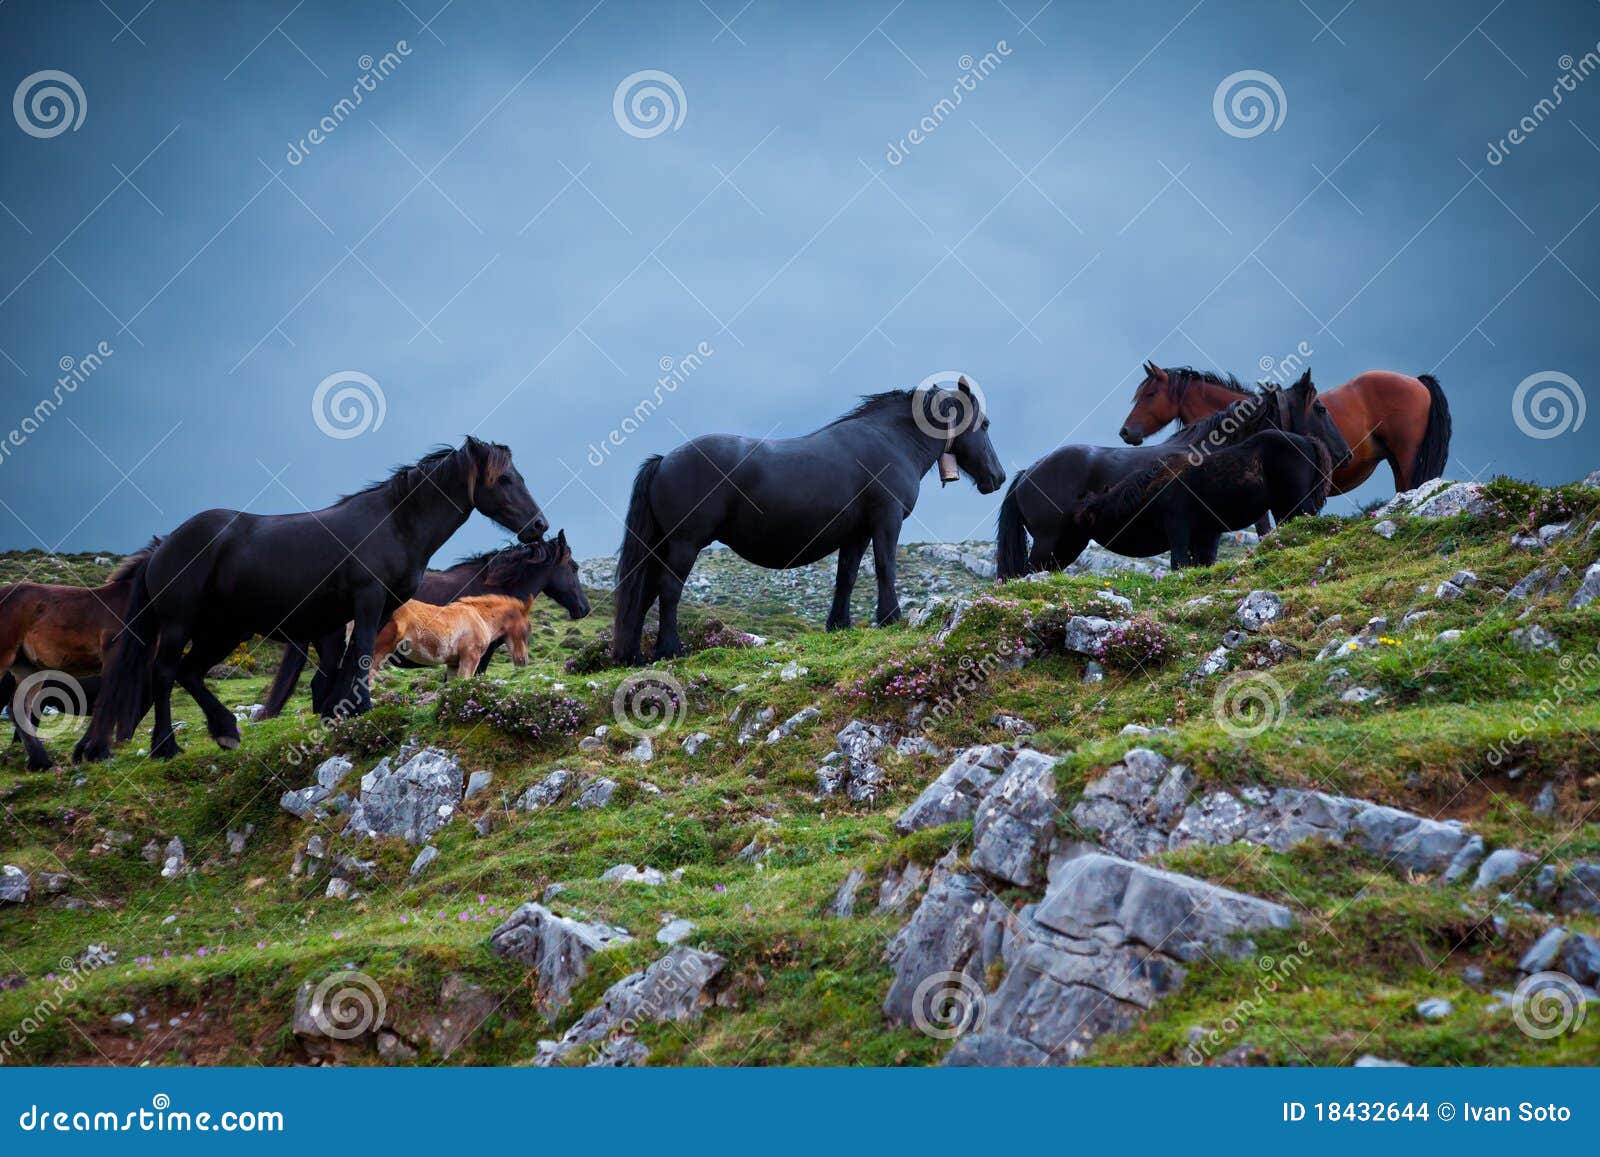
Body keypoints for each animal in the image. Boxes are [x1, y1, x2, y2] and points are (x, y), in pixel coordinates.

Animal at [0, 545, 156, 769]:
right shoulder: (115, 659)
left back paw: (41, 762)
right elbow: (109, 701)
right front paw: (94, 751)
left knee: (18, 708)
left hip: (28, 668)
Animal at [371, 594, 533, 679]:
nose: (523, 662)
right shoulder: (470, 658)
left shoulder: (453, 664)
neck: (479, 617)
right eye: (528, 629)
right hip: (380, 650)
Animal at [612, 379, 1006, 664]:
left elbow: (846, 577)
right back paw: (670, 650)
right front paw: (890, 618)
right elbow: (885, 567)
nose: (998, 477)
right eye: (984, 424)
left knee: (645, 594)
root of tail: (664, 460)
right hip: (684, 544)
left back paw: (634, 656)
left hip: (661, 546)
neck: (893, 441)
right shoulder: (886, 521)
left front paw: (839, 625)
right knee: (668, 591)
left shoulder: (856, 534)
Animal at [1076, 430, 1336, 568]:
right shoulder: (1206, 533)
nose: (1076, 522)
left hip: (1297, 501)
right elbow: (1203, 561)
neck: (1152, 488)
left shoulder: (1178, 527)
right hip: (1283, 507)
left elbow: (1179, 561)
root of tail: (1308, 441)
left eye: (1092, 514)